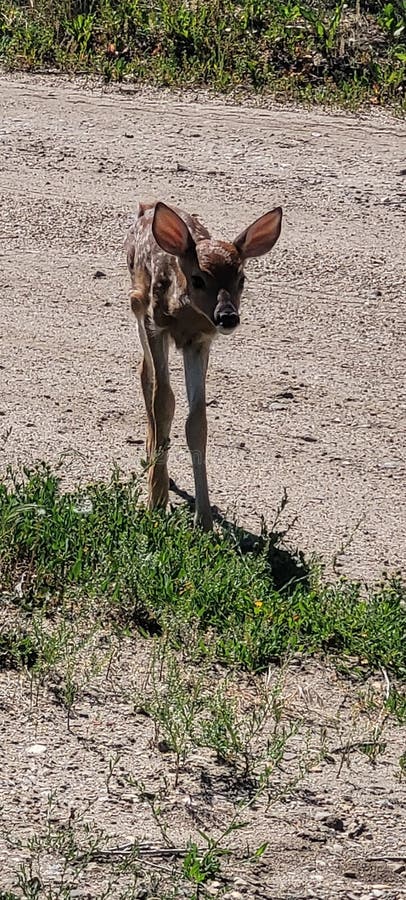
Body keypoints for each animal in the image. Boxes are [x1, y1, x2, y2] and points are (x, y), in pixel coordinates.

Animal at [125, 200, 282, 531]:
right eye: (198, 279)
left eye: (241, 280)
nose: (228, 316)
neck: (186, 314)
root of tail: (147, 207)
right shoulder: (155, 324)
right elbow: (164, 402)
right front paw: (156, 502)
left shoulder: (200, 342)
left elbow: (197, 421)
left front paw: (205, 519)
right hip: (136, 304)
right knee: (146, 376)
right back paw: (152, 459)